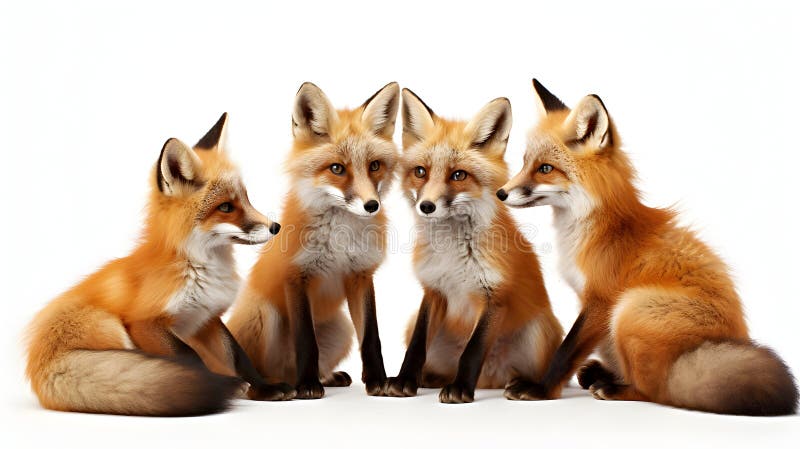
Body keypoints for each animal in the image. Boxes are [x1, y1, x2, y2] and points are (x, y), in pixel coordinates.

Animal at [25, 113, 296, 416]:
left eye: (247, 199)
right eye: (226, 207)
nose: (275, 227)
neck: (199, 269)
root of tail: (39, 365)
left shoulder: (206, 319)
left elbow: (239, 356)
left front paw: (263, 387)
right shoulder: (145, 323)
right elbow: (190, 356)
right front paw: (223, 383)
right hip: (112, 328)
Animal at [227, 82, 400, 399]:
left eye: (374, 166)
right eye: (337, 169)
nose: (371, 205)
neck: (341, 237)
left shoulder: (360, 275)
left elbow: (372, 339)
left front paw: (378, 381)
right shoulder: (296, 276)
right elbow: (306, 341)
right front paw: (308, 386)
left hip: (342, 328)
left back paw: (327, 377)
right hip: (265, 314)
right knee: (253, 379)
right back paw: (275, 388)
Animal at [383, 88, 564, 404]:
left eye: (458, 175)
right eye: (421, 172)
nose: (426, 206)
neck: (453, 255)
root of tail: (489, 381)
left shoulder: (494, 296)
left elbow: (472, 351)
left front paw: (460, 389)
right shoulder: (433, 290)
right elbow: (416, 347)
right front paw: (405, 380)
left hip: (542, 330)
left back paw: (522, 385)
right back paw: (431, 379)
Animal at [497, 79, 798, 415]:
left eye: (546, 169)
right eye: (525, 163)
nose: (501, 193)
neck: (600, 229)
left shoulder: (600, 300)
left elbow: (566, 351)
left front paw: (540, 389)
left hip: (630, 309)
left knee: (655, 391)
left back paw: (612, 387)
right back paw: (601, 374)